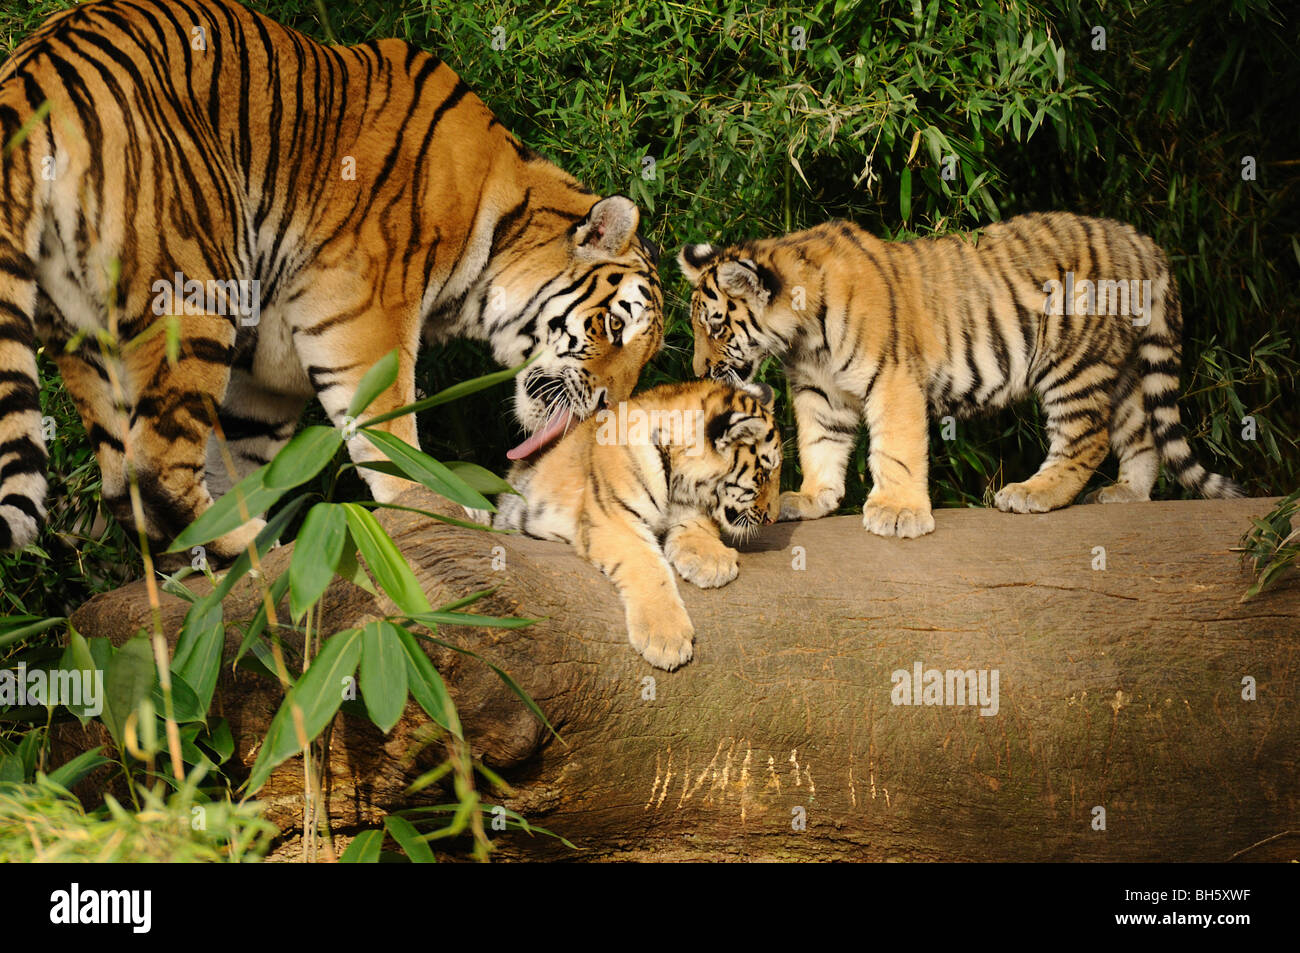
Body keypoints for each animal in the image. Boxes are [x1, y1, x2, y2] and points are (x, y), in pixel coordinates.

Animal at [0, 0, 662, 565]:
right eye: (614, 326)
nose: (609, 407)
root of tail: (35, 64)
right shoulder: (360, 306)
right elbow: (388, 427)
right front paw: (439, 508)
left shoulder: (267, 375)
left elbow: (241, 456)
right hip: (192, 285)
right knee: (152, 466)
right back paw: (248, 548)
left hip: (81, 327)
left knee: (120, 480)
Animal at [491, 379, 781, 669]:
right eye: (764, 475)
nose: (773, 518)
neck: (677, 476)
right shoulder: (615, 517)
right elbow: (648, 566)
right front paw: (666, 638)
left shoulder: (691, 511)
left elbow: (699, 531)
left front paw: (712, 564)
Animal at [678, 212, 1241, 538]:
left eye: (716, 325)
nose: (699, 370)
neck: (802, 334)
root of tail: (1141, 240)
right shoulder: (820, 391)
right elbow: (821, 442)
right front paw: (815, 498)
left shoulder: (892, 378)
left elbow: (895, 449)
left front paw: (898, 513)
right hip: (1120, 366)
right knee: (1139, 433)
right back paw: (1127, 494)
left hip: (1074, 362)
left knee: (1087, 438)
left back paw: (1032, 493)